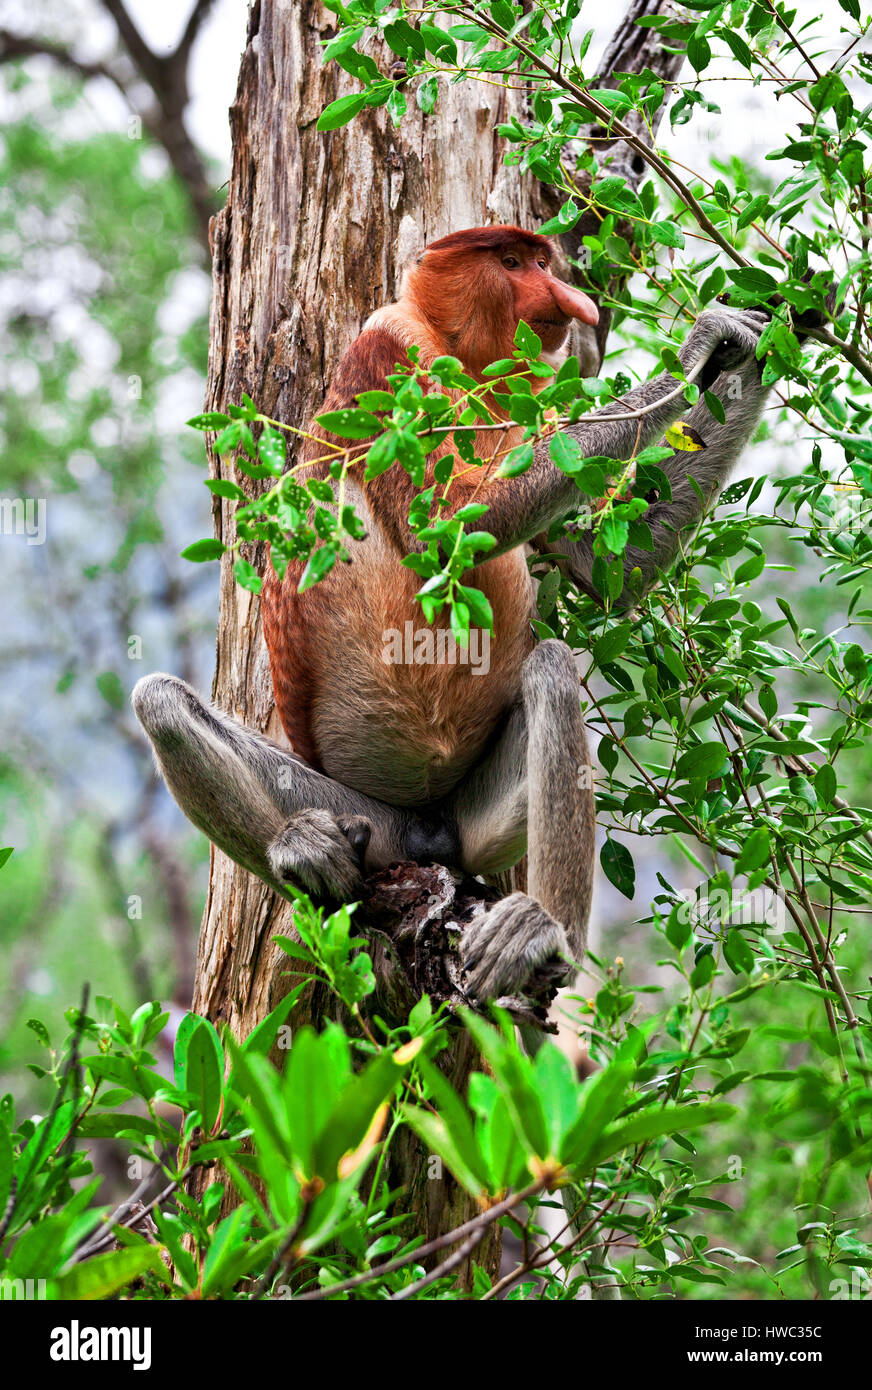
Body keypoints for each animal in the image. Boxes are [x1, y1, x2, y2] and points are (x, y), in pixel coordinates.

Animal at [133, 225, 776, 1009]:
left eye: (542, 262)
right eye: (513, 262)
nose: (568, 300)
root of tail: (429, 832)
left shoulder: (540, 412)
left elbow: (606, 571)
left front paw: (758, 340)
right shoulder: (387, 349)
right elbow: (458, 522)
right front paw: (704, 344)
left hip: (480, 820)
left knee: (548, 671)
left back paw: (532, 930)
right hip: (365, 818)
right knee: (161, 704)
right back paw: (312, 852)